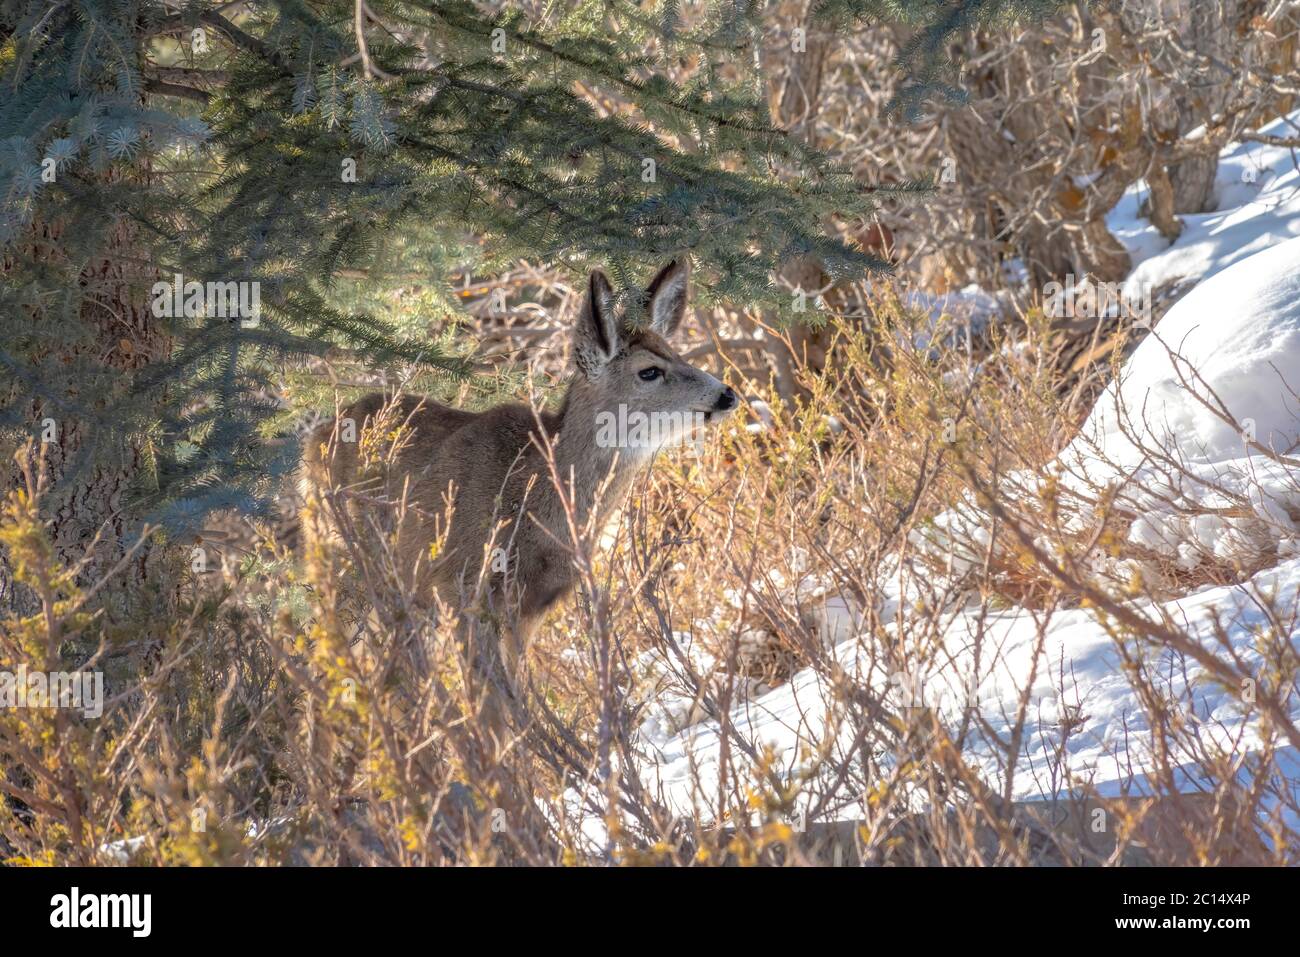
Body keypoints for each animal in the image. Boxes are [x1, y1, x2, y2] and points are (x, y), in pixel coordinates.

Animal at [300, 259, 738, 740]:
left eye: (677, 353)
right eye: (649, 371)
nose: (726, 393)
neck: (537, 503)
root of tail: (314, 441)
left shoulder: (529, 610)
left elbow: (512, 708)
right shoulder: (461, 589)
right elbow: (493, 714)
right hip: (345, 568)